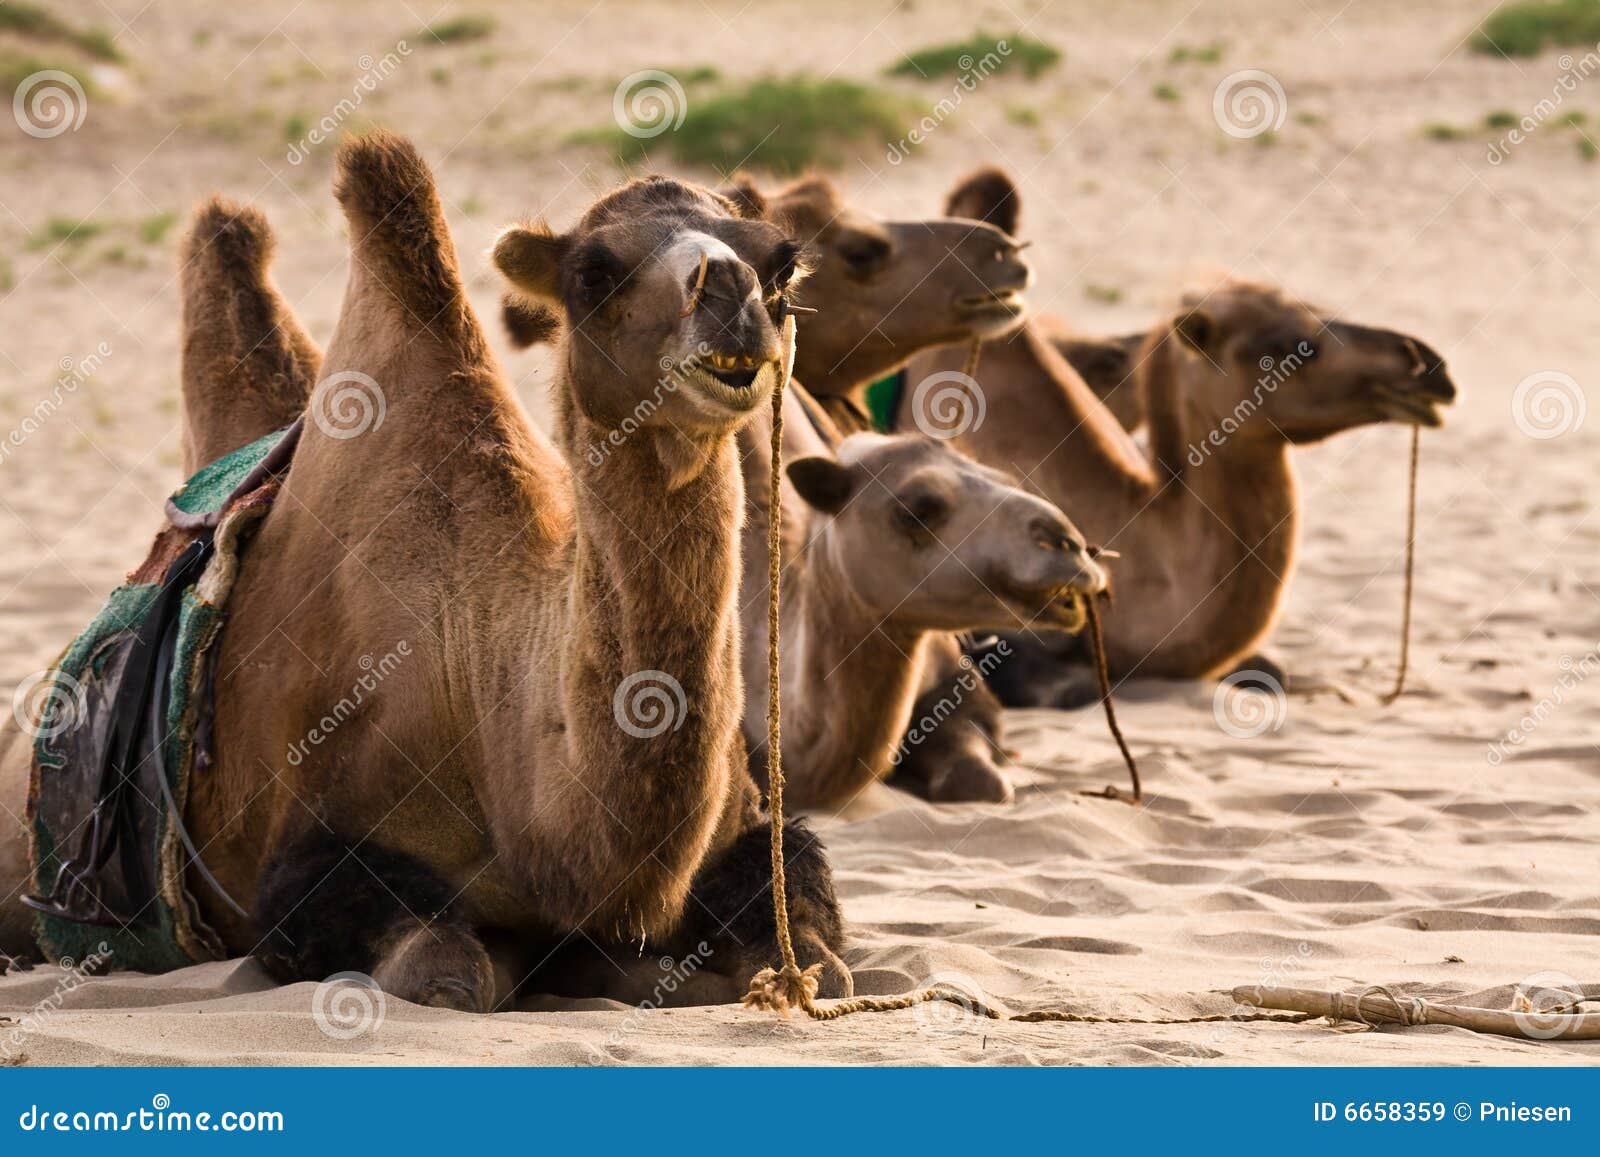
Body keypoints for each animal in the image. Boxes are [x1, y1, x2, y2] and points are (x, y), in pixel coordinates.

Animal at [2, 133, 851, 1006]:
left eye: (781, 264)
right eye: (592, 271)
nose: (732, 290)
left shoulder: (748, 831)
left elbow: (823, 958)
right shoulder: (311, 855)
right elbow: (449, 973)